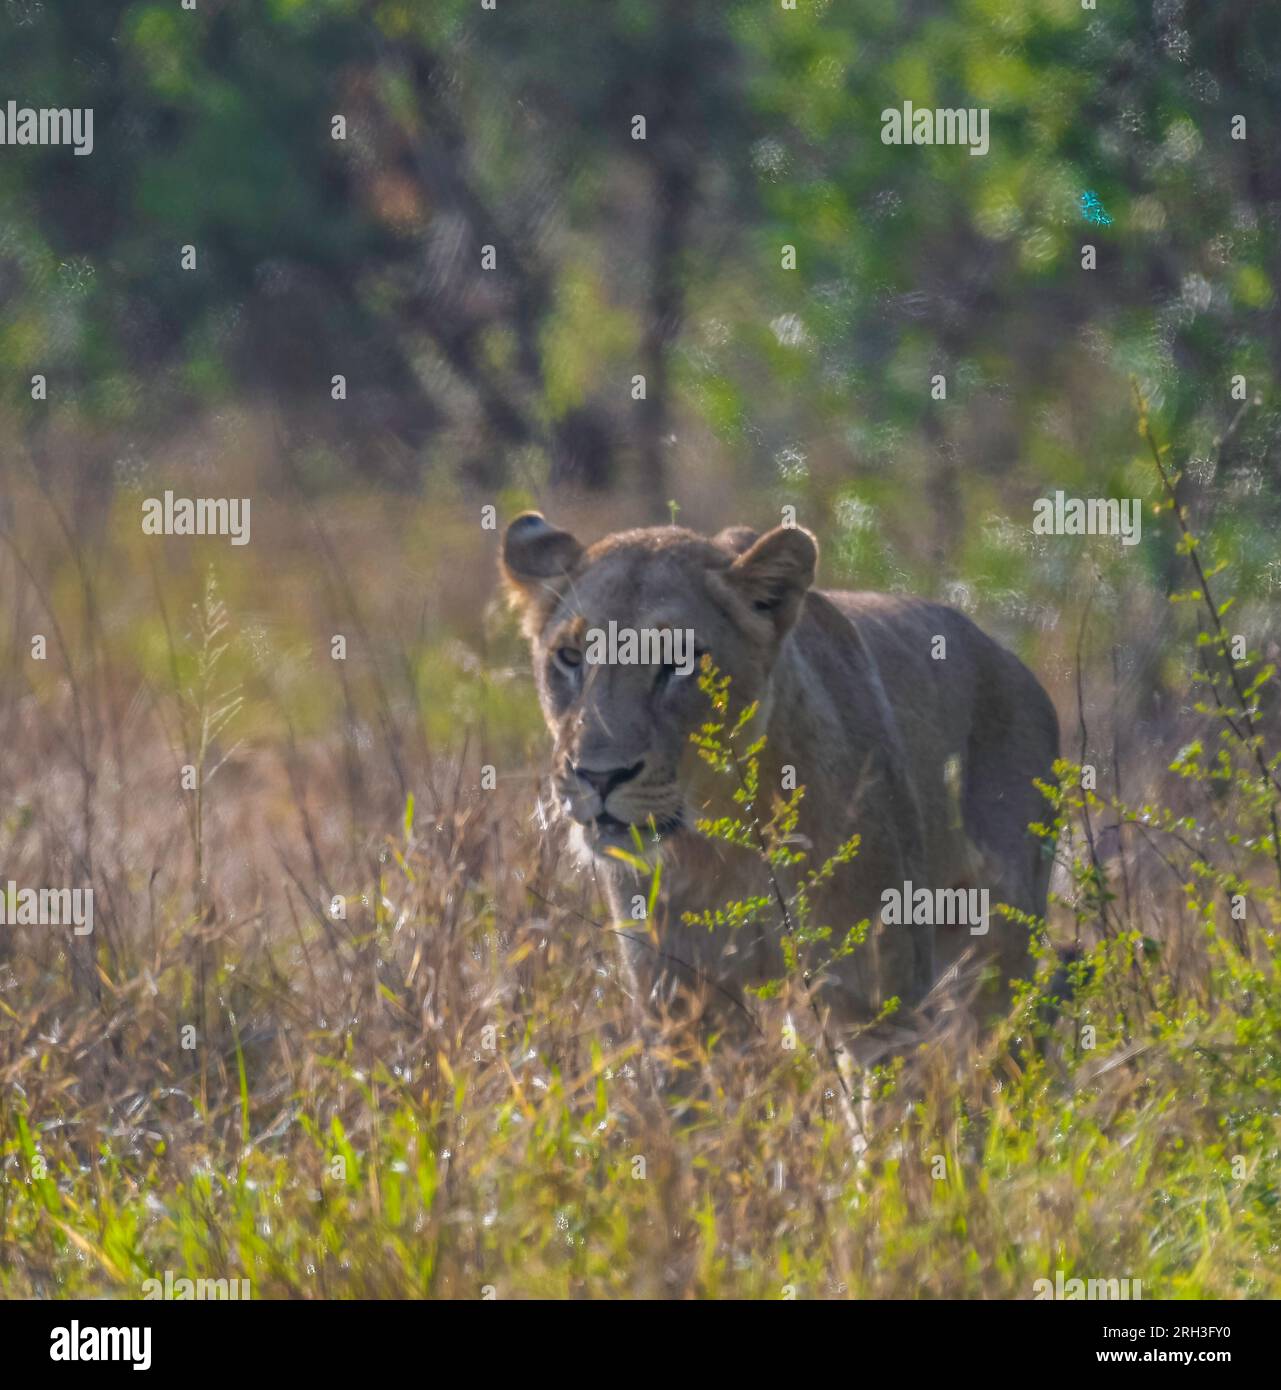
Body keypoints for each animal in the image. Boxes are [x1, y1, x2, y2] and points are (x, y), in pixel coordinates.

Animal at [502, 513, 1059, 1064]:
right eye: (570, 656)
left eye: (680, 661)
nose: (598, 776)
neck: (722, 837)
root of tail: (1011, 661)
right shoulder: (679, 999)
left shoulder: (877, 996)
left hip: (998, 951)